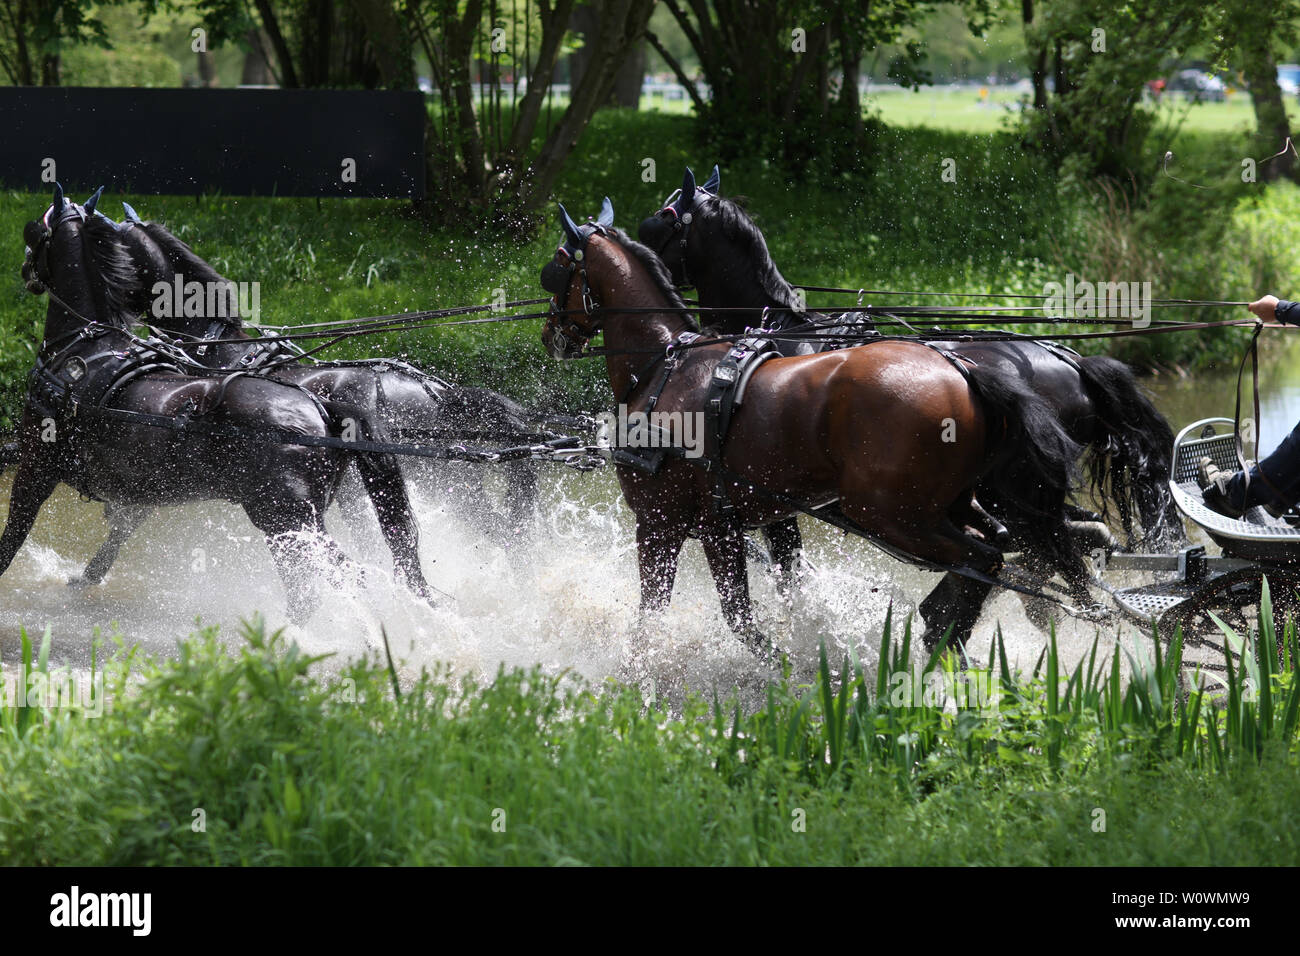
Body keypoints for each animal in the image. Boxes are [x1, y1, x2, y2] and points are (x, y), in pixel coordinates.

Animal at [7, 185, 431, 619]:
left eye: (34, 233)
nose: (24, 272)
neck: (88, 346)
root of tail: (324, 408)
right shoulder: (139, 487)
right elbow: (122, 528)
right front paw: (87, 577)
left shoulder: (35, 467)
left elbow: (14, 538)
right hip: (300, 519)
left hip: (287, 518)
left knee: (349, 574)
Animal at [45, 190, 546, 585]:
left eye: (113, 254)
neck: (222, 348)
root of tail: (439, 393)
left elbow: (131, 516)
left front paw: (89, 573)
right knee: (501, 531)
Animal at [540, 199, 1084, 656]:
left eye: (558, 265)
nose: (550, 335)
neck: (665, 365)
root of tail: (964, 369)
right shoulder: (727, 524)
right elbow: (753, 604)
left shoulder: (663, 522)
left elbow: (683, 616)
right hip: (947, 506)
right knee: (996, 549)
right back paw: (942, 639)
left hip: (890, 515)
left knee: (985, 559)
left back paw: (943, 641)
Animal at [638, 166, 1186, 641]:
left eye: (662, 216)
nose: (637, 245)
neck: (783, 334)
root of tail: (1071, 360)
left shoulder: (771, 490)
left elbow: (788, 566)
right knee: (1070, 541)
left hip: (1011, 492)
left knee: (1053, 549)